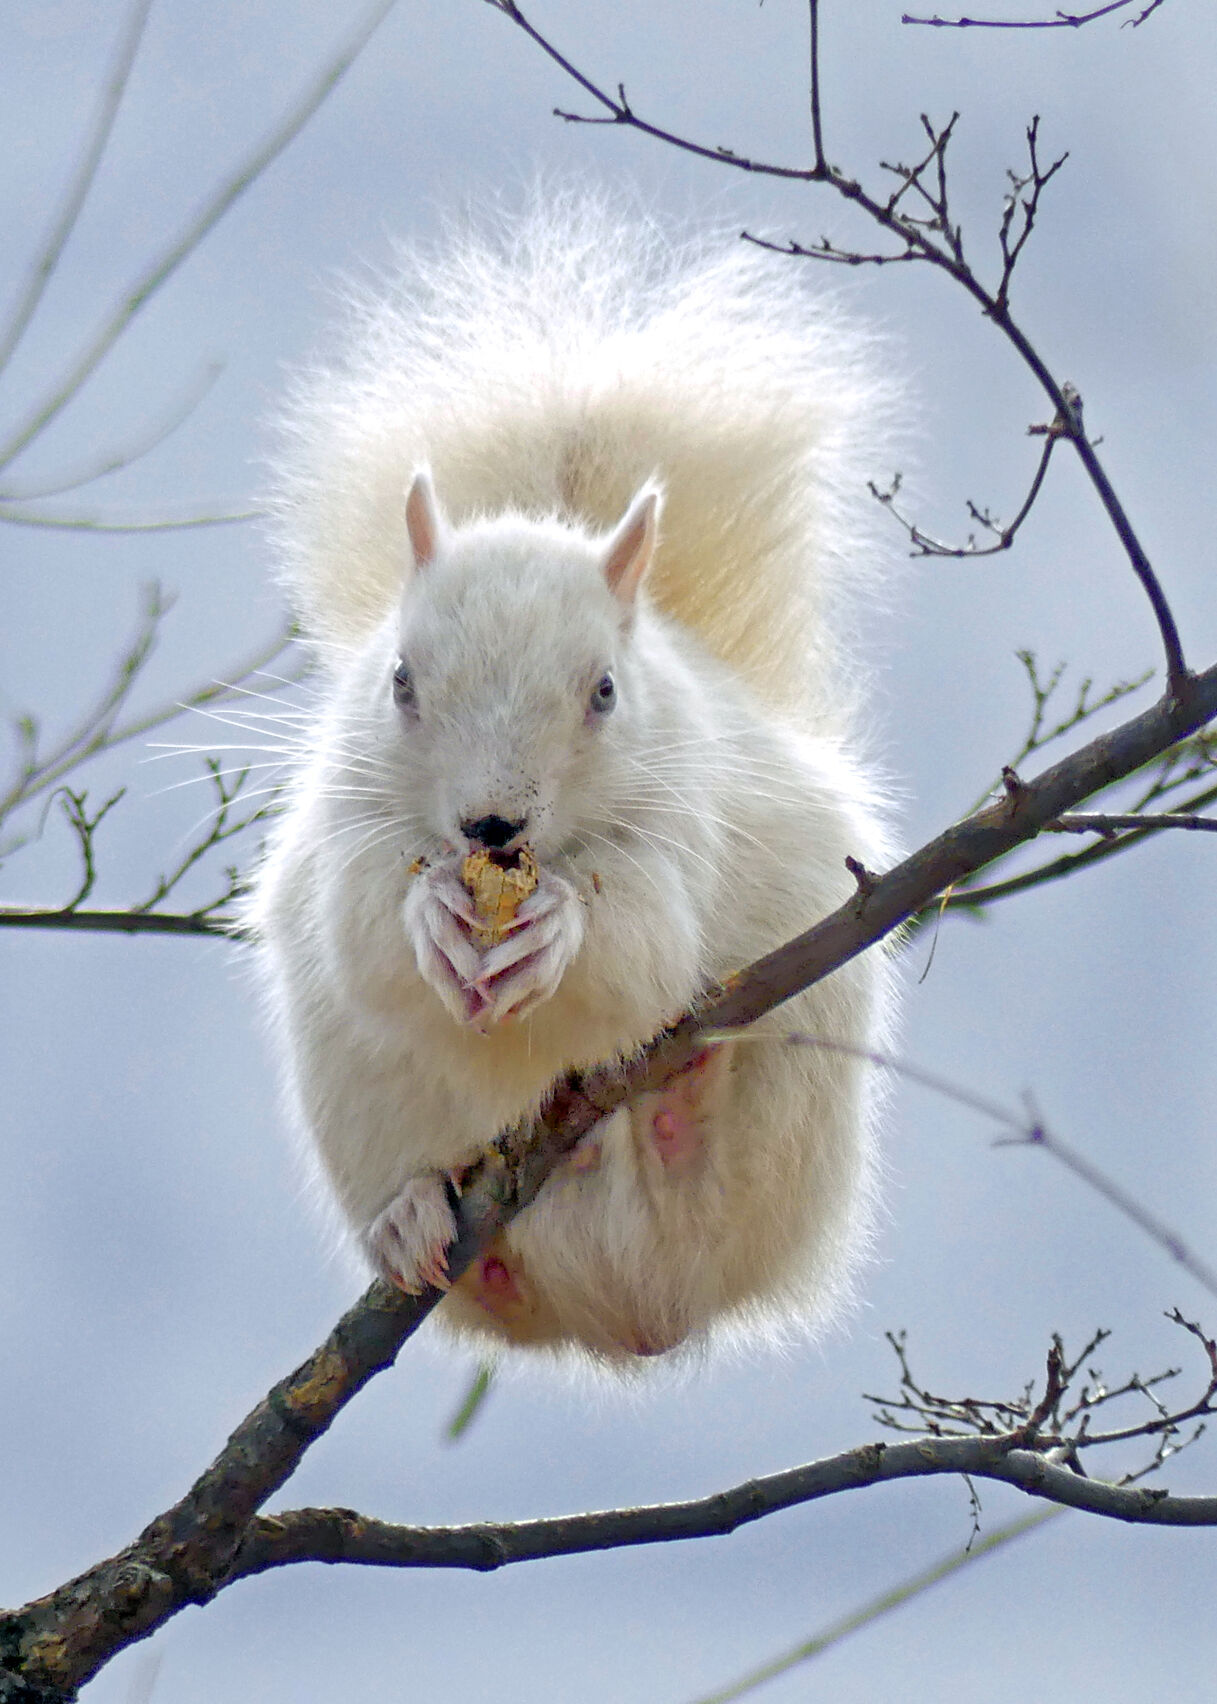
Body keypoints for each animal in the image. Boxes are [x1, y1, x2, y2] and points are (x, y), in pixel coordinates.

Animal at [248, 194, 898, 1366]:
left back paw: (684, 1110)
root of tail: (626, 1312)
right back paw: (418, 1216)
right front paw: (426, 917)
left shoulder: (686, 813)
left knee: (708, 1199)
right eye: (400, 680)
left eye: (604, 690)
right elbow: (357, 924)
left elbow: (644, 934)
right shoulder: (346, 812)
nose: (490, 825)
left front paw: (557, 927)